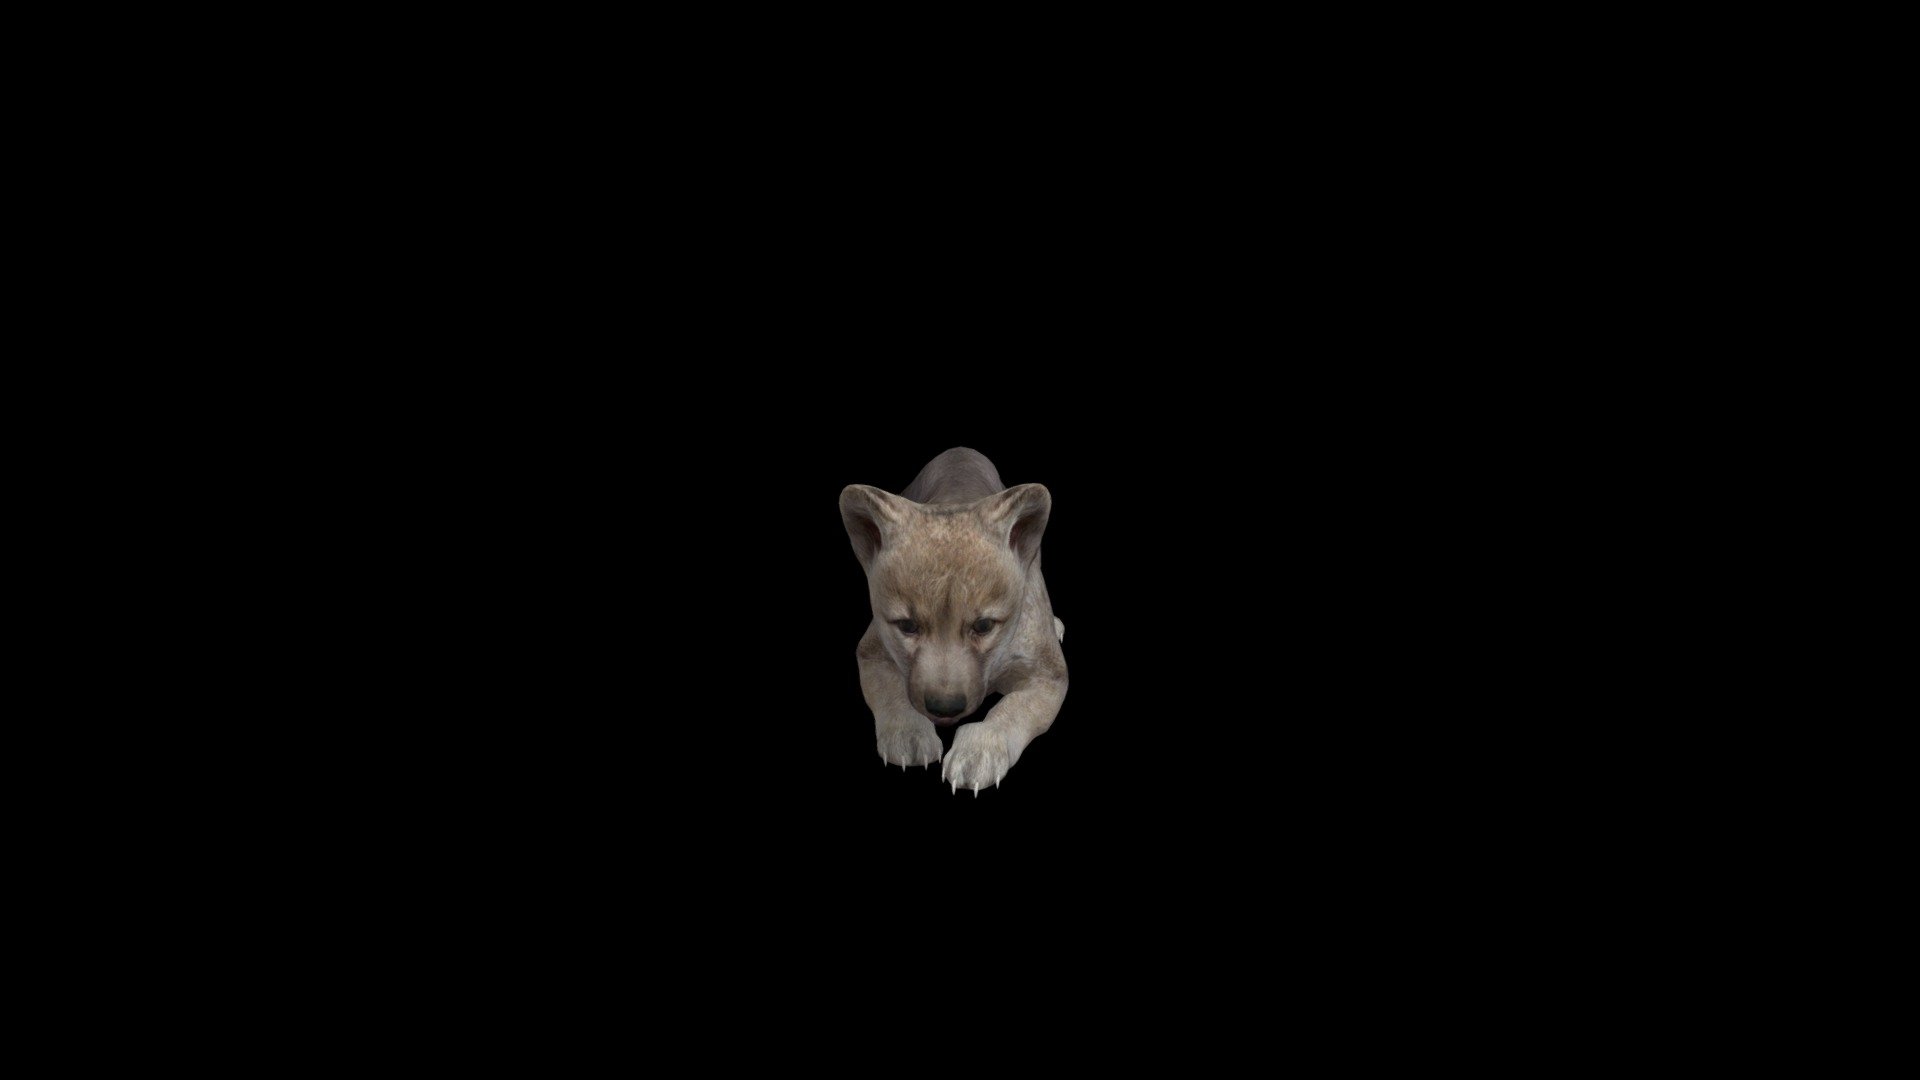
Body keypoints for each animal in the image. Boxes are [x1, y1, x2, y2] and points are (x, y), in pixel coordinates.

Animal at [840, 447, 1068, 795]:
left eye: (984, 626)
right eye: (907, 626)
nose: (945, 707)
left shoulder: (1049, 673)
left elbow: (1015, 710)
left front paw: (978, 755)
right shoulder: (871, 649)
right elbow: (890, 693)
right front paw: (909, 737)